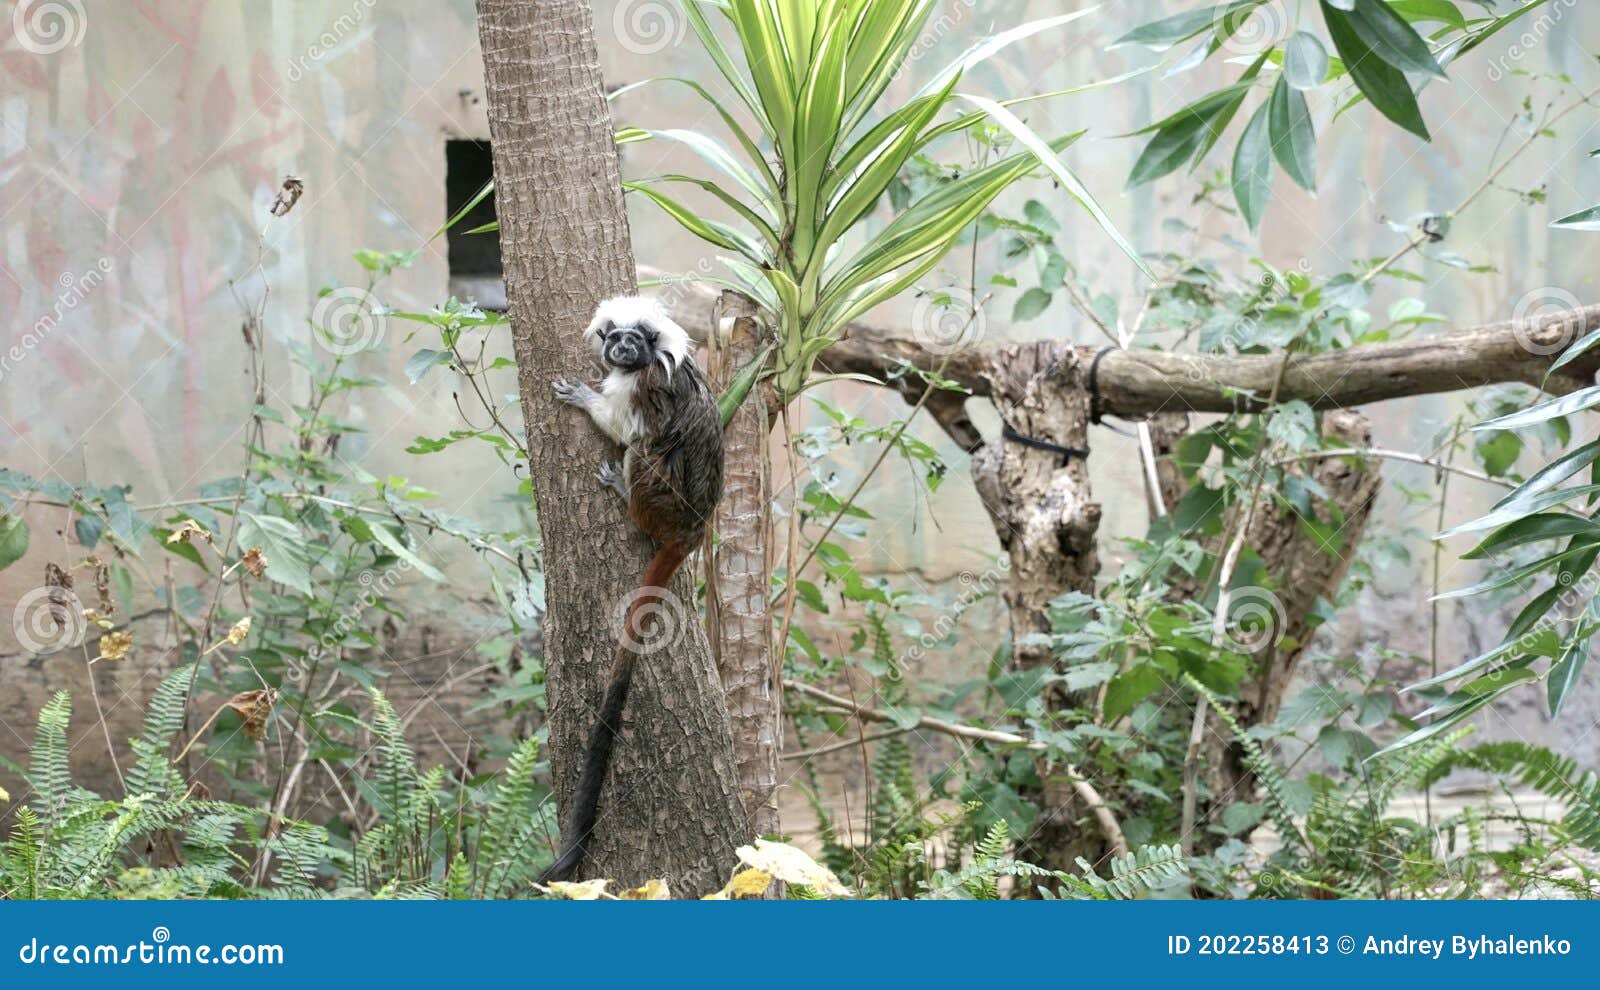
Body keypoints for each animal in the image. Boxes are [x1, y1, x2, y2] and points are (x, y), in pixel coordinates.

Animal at [538, 295, 725, 884]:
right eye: (615, 337)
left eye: (634, 342)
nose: (620, 349)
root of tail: (695, 529)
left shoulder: (641, 385)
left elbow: (625, 427)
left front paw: (586, 401)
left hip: (660, 497)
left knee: (645, 450)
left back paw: (625, 492)